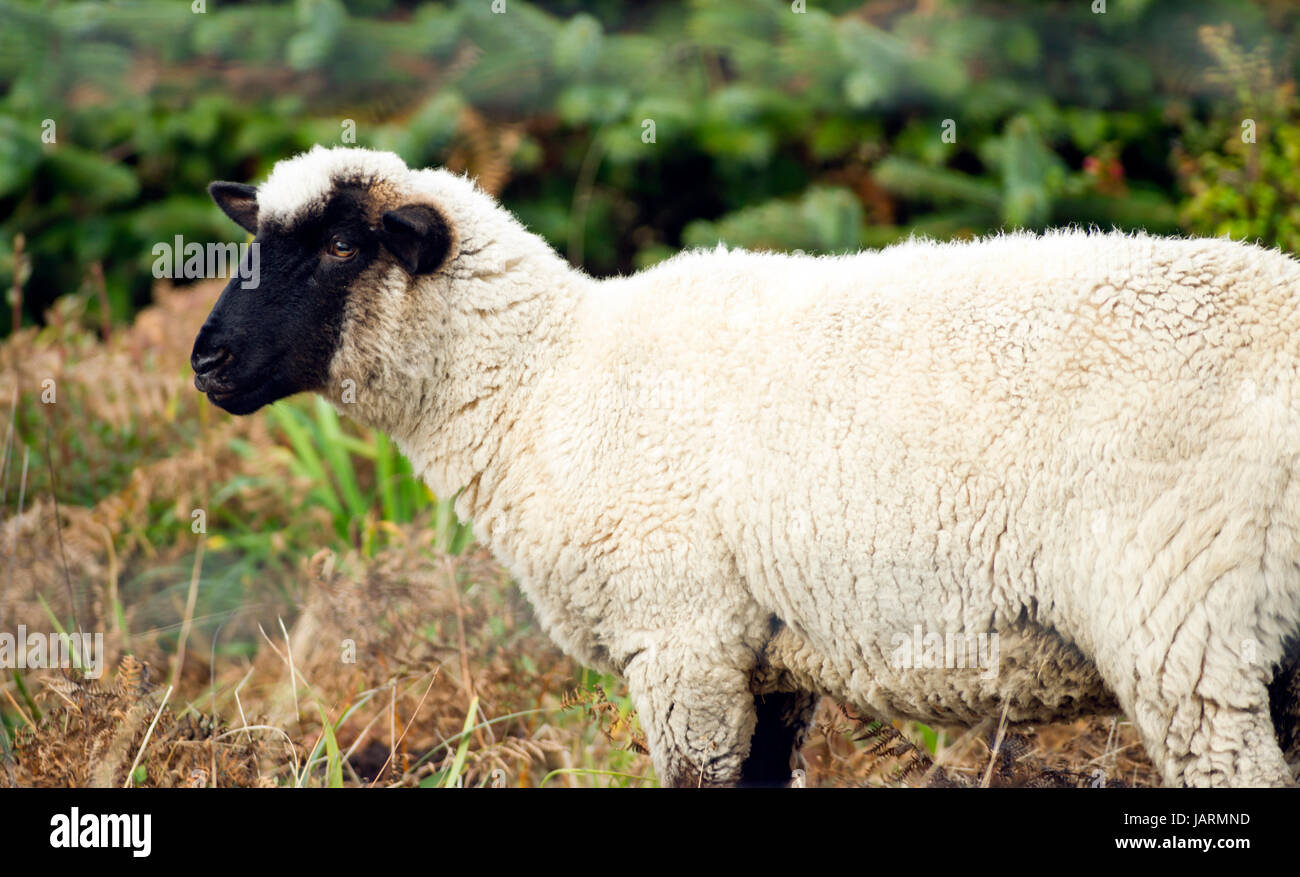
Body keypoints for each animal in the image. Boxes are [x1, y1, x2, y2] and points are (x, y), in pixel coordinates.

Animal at [192, 145, 1300, 787]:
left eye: (343, 246)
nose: (208, 362)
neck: (543, 382)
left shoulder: (682, 638)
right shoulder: (767, 657)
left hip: (1185, 624)